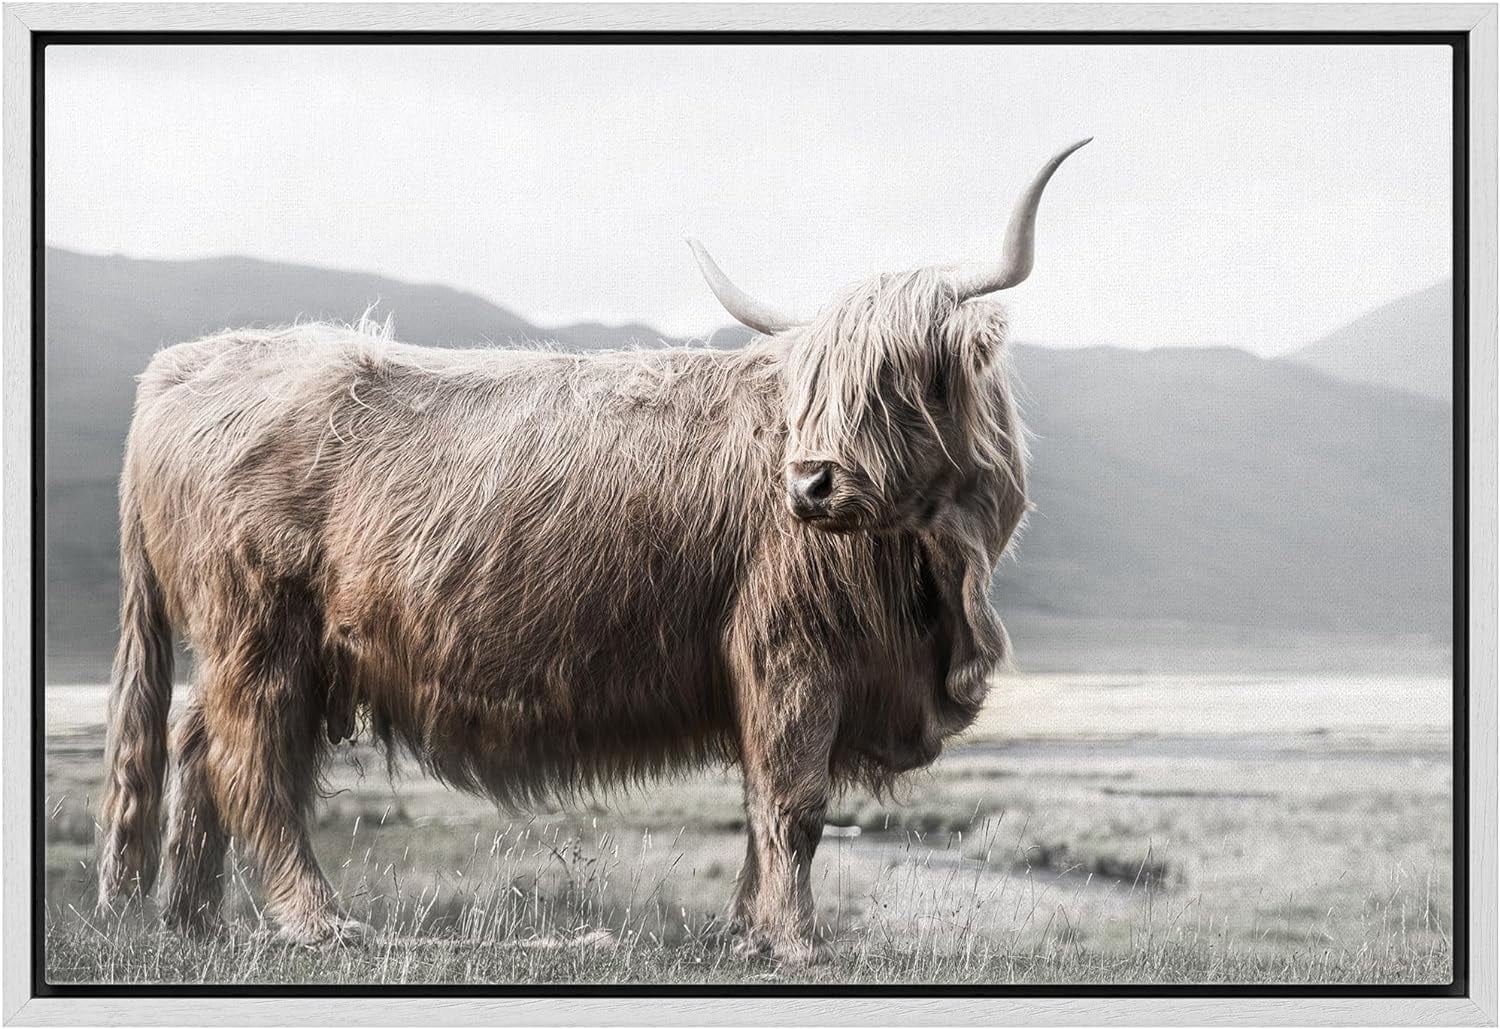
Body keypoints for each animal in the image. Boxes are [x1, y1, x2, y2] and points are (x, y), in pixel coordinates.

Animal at [96, 139, 1088, 964]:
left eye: (902, 377)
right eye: (811, 386)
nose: (810, 484)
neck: (940, 586)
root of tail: (186, 365)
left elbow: (759, 808)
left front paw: (744, 931)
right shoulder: (791, 656)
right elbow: (793, 805)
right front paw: (798, 943)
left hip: (247, 645)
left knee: (197, 746)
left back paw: (191, 918)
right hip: (261, 636)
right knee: (255, 768)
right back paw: (318, 921)